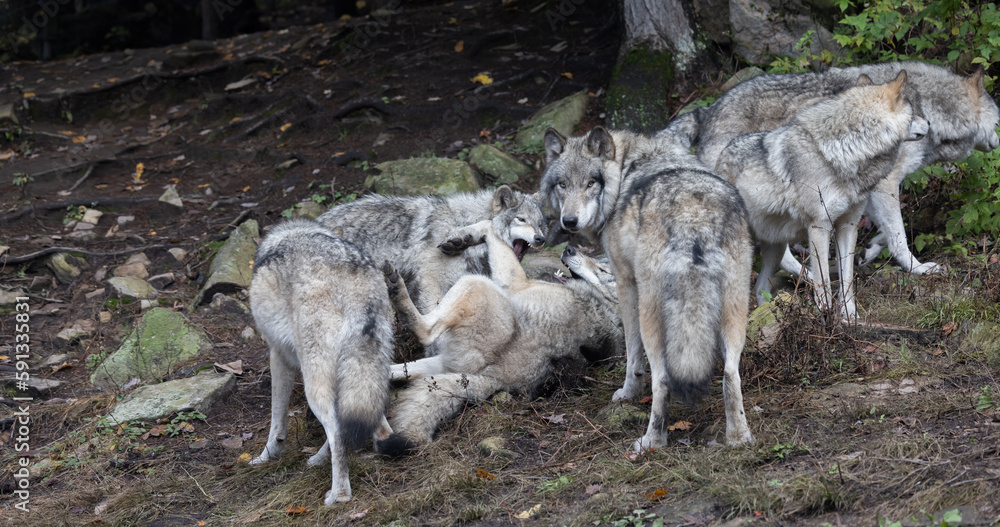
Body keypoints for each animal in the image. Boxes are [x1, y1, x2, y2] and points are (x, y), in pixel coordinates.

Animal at [249, 219, 394, 504]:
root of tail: (356, 284)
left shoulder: (278, 355)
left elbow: (276, 417)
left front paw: (267, 455)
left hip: (314, 382)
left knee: (337, 431)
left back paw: (338, 495)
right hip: (367, 374)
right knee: (375, 426)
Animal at [376, 223, 624, 455]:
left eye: (603, 269)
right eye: (600, 261)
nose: (570, 249)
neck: (606, 302)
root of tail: (495, 380)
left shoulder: (515, 282)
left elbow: (493, 229)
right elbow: (491, 228)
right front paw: (463, 238)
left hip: (473, 284)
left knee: (425, 330)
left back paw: (396, 288)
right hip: (438, 364)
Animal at [540, 126, 755, 451]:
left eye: (590, 183)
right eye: (563, 185)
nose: (570, 222)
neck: (624, 169)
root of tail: (694, 215)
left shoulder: (626, 283)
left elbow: (632, 353)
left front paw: (628, 393)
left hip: (653, 314)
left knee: (662, 380)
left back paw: (651, 441)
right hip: (736, 308)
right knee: (731, 374)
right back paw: (739, 438)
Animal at [665, 61, 1000, 275]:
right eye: (998, 123)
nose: (999, 142)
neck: (934, 107)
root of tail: (707, 110)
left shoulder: (868, 189)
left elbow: (883, 233)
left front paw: (867, 252)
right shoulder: (886, 184)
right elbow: (900, 236)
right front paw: (917, 268)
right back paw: (808, 277)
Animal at [714, 71, 929, 319]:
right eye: (914, 112)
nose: (929, 123)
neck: (845, 153)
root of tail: (719, 158)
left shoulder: (848, 226)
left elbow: (847, 278)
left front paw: (849, 316)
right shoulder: (819, 226)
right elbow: (824, 279)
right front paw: (826, 316)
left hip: (775, 248)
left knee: (761, 287)